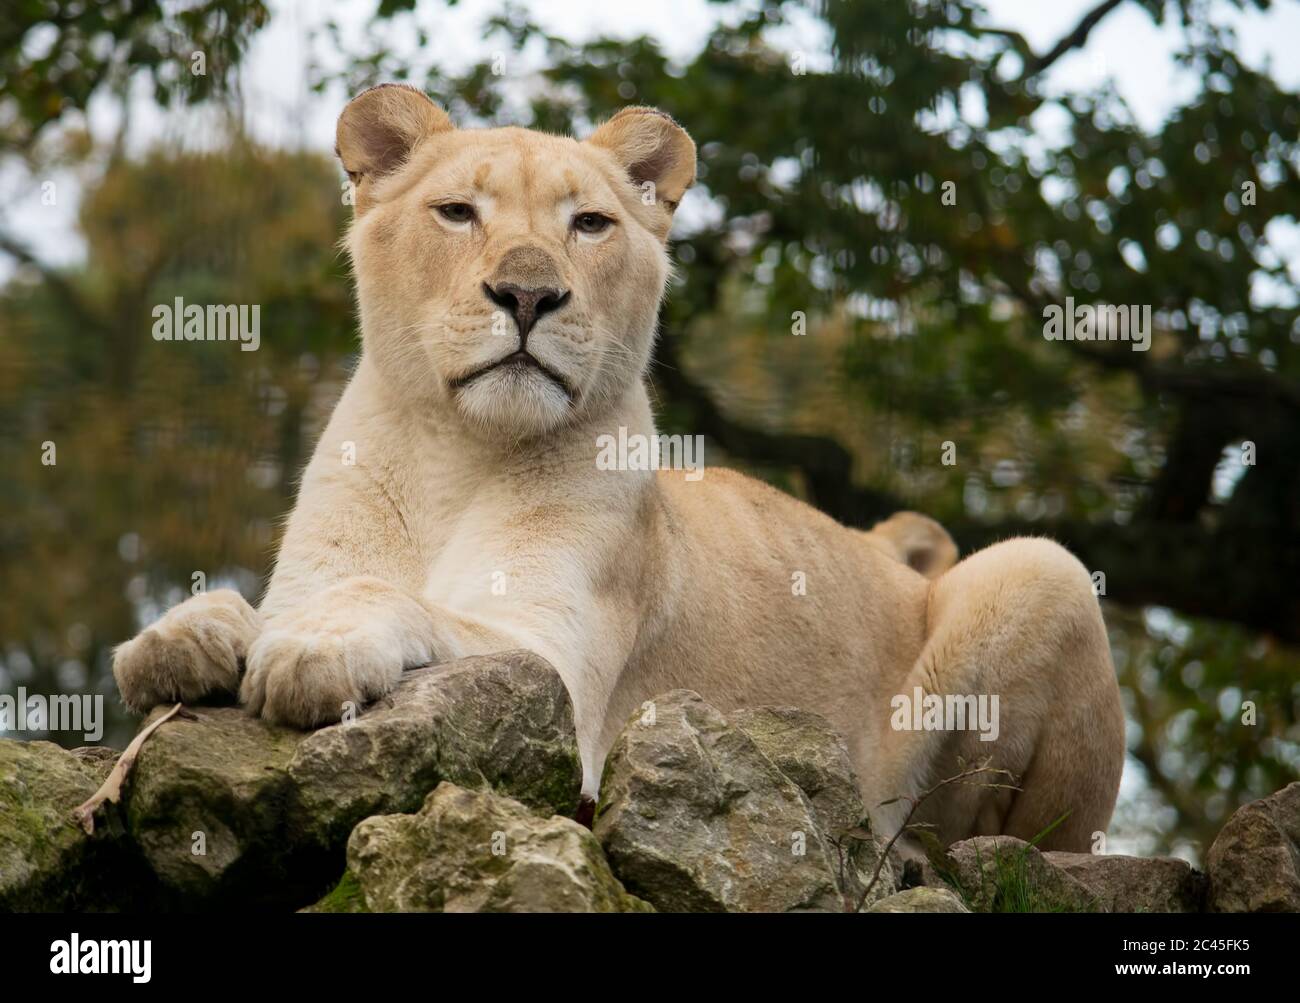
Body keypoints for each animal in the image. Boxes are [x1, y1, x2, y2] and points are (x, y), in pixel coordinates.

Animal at [113, 85, 1124, 851]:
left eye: (590, 223)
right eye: (457, 212)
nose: (527, 293)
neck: (455, 456)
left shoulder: (557, 676)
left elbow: (396, 603)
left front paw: (313, 649)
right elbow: (245, 606)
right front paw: (177, 639)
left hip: (1042, 574)